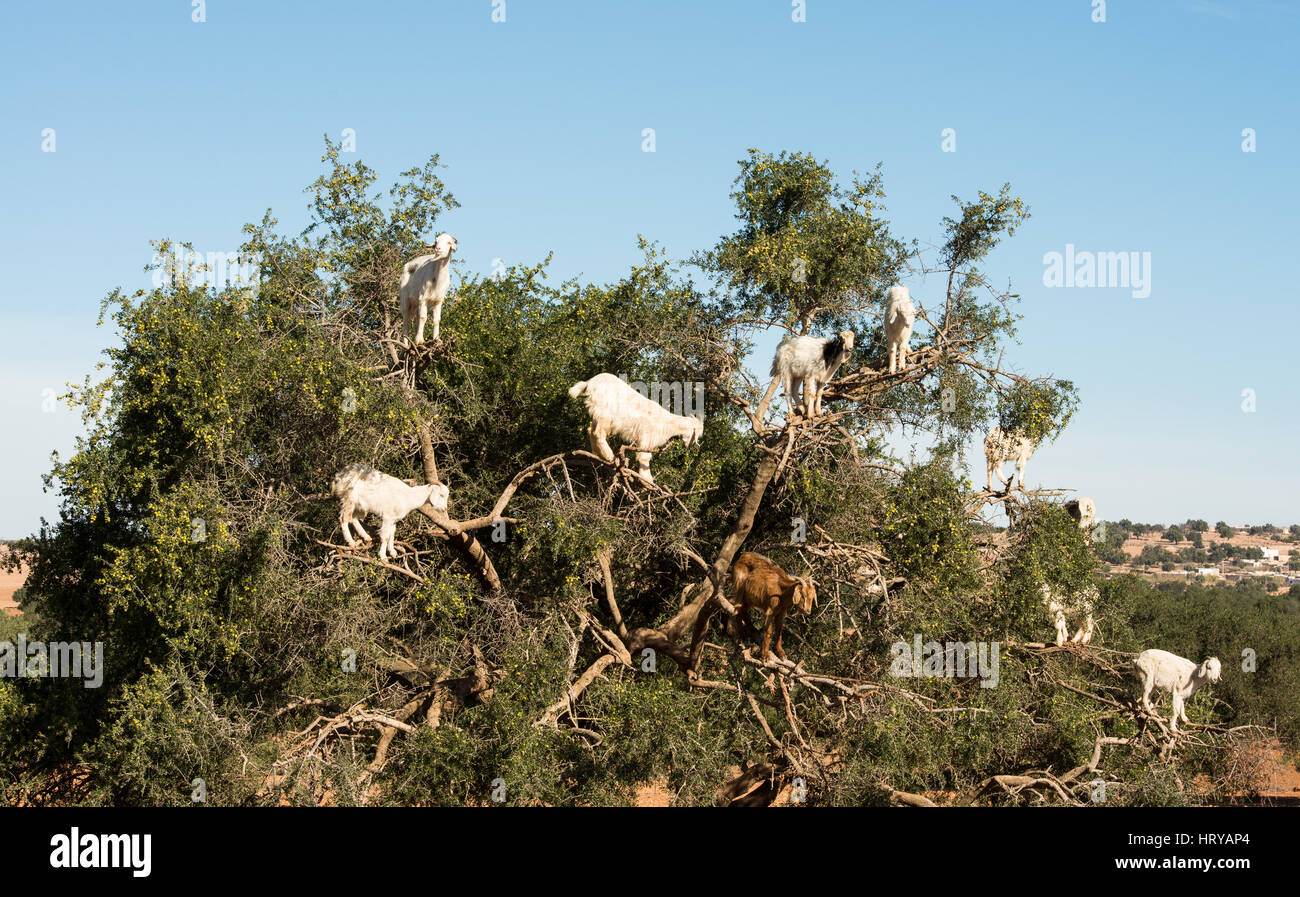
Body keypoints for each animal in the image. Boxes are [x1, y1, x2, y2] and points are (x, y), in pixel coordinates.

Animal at [567, 373, 703, 485]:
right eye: (695, 434)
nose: (690, 446)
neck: (667, 422)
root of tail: (590, 383)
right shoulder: (647, 437)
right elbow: (645, 458)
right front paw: (647, 481)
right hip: (605, 414)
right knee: (597, 433)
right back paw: (609, 456)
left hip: (598, 414)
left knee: (590, 430)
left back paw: (597, 455)